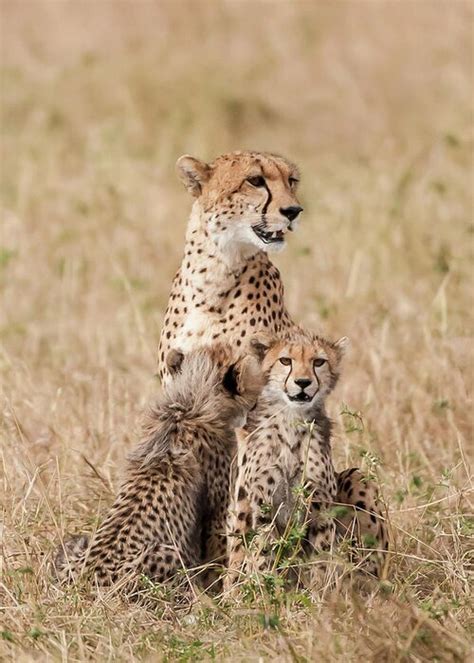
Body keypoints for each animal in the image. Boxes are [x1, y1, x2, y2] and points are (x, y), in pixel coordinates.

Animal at [53, 343, 264, 592]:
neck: (193, 397)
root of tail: (87, 581)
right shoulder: (216, 511)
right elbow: (216, 556)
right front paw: (219, 593)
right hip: (166, 555)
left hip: (74, 547)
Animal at [226, 328, 388, 589]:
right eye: (285, 360)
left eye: (318, 362)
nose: (303, 383)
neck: (292, 420)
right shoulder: (263, 508)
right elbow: (262, 555)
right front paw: (264, 591)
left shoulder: (320, 507)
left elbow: (321, 558)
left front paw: (320, 594)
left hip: (358, 477)